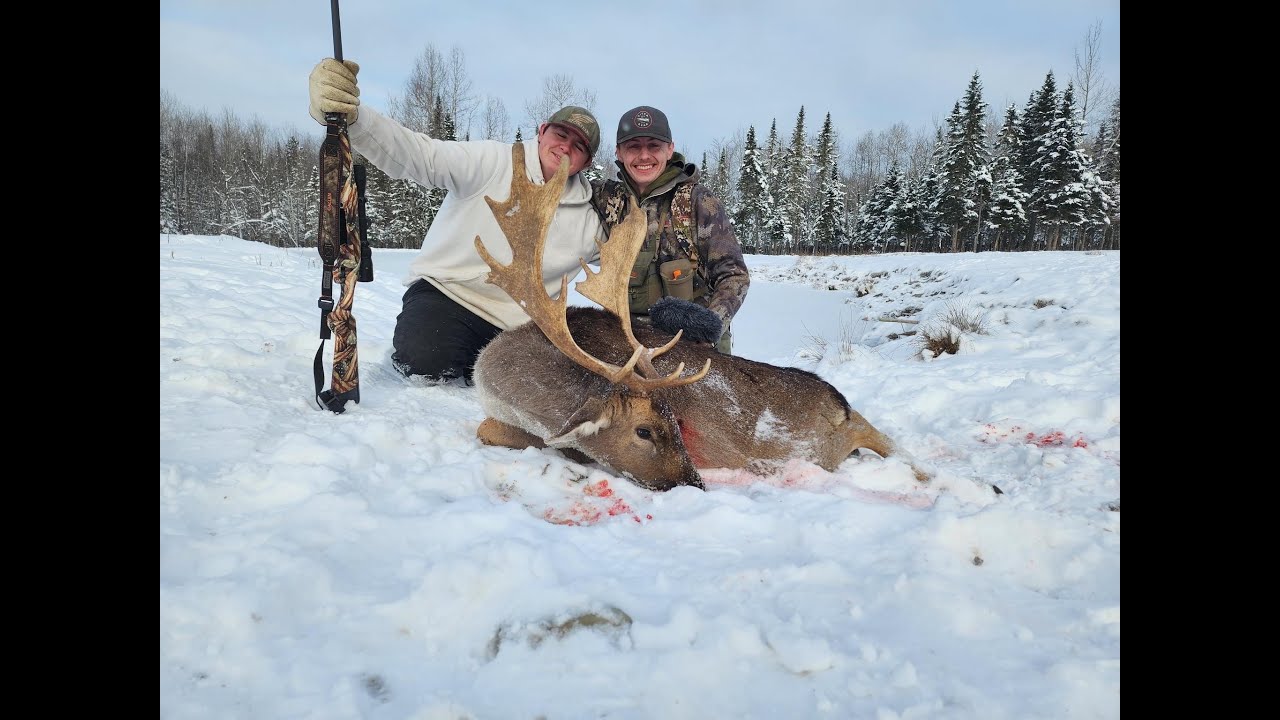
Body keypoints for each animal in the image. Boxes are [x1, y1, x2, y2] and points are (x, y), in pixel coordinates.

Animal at [472, 144, 930, 492]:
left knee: (896, 443)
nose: (696, 483)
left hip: (853, 427)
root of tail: (838, 403)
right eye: (644, 430)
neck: (495, 378)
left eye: (677, 422)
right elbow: (488, 429)